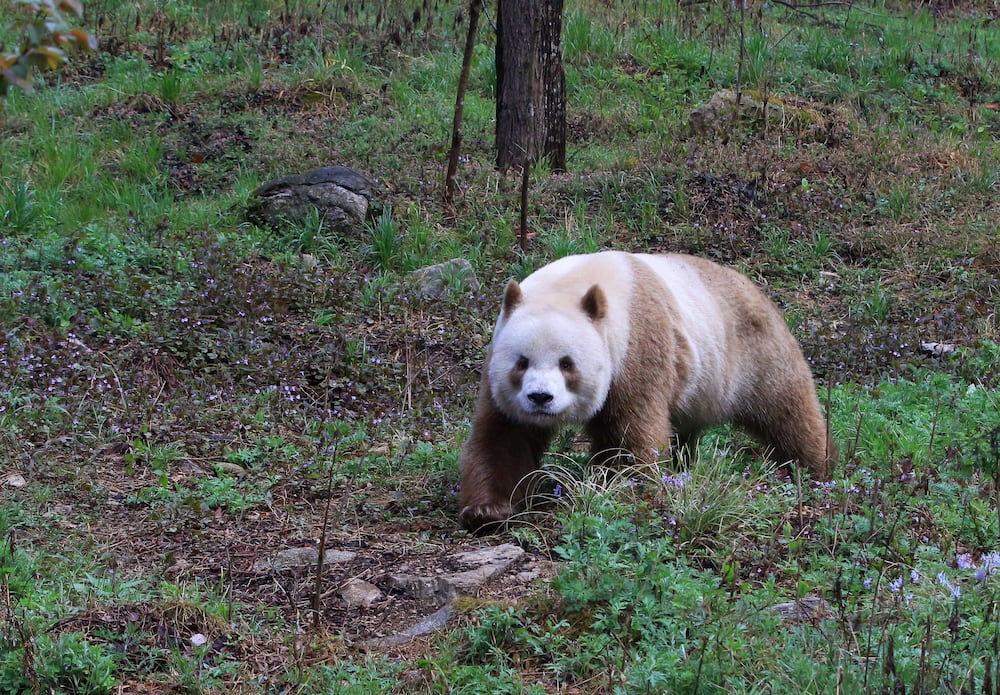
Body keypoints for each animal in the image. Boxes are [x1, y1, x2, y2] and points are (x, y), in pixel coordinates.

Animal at [458, 251, 834, 532]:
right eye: (522, 362)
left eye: (567, 364)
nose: (540, 398)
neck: (574, 285)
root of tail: (753, 286)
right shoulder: (498, 364)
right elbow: (505, 435)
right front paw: (487, 512)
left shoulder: (635, 347)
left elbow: (631, 432)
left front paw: (622, 491)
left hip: (750, 353)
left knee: (787, 410)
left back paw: (815, 471)